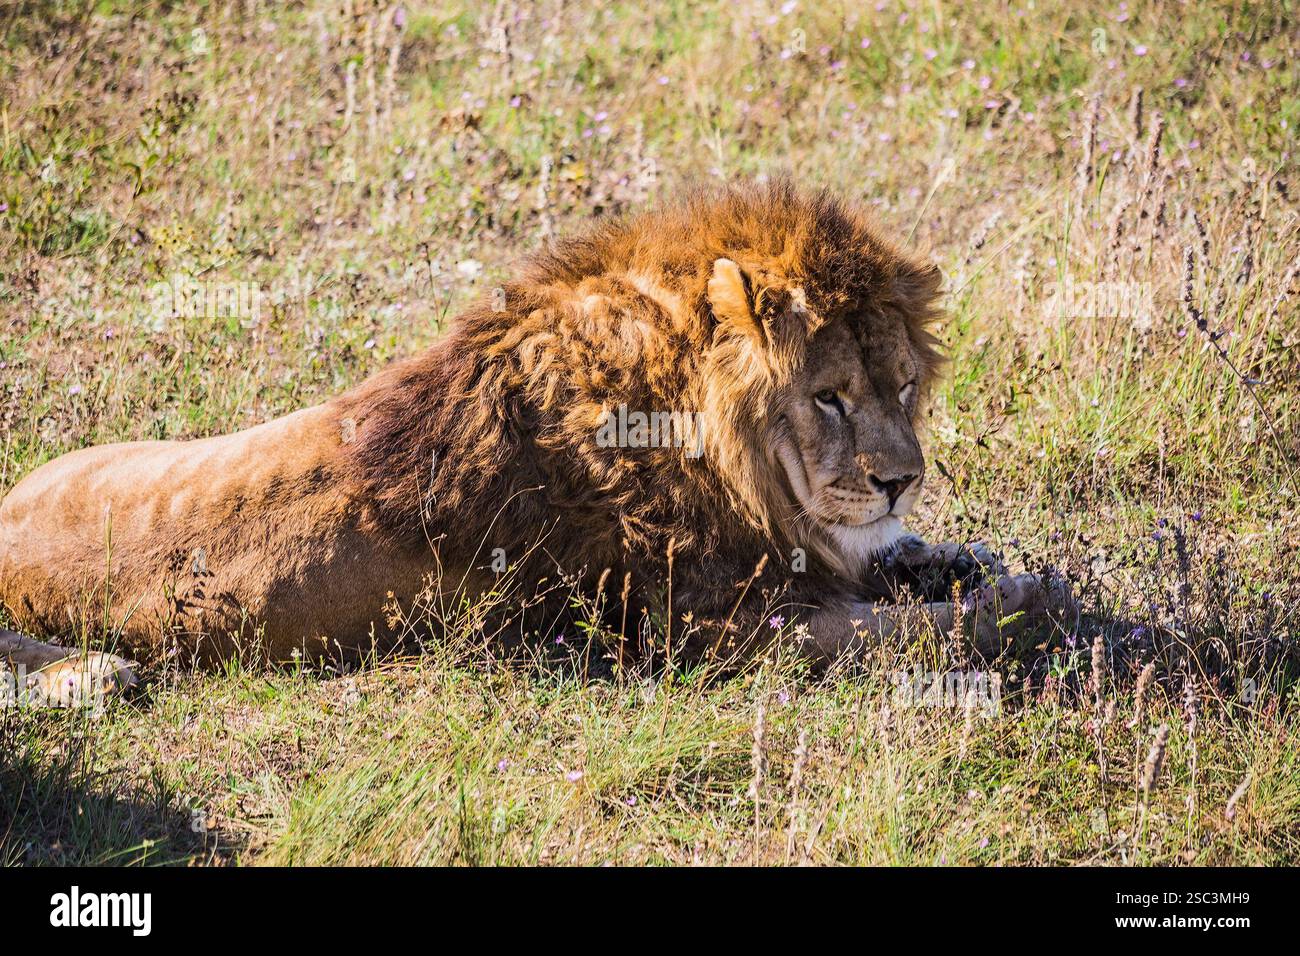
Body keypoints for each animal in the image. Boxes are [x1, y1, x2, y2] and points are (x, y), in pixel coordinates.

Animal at [0, 180, 1073, 699]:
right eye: (831, 399)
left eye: (904, 386)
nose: (901, 481)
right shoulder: (711, 629)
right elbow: (907, 634)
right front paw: (1028, 603)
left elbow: (908, 573)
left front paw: (963, 560)